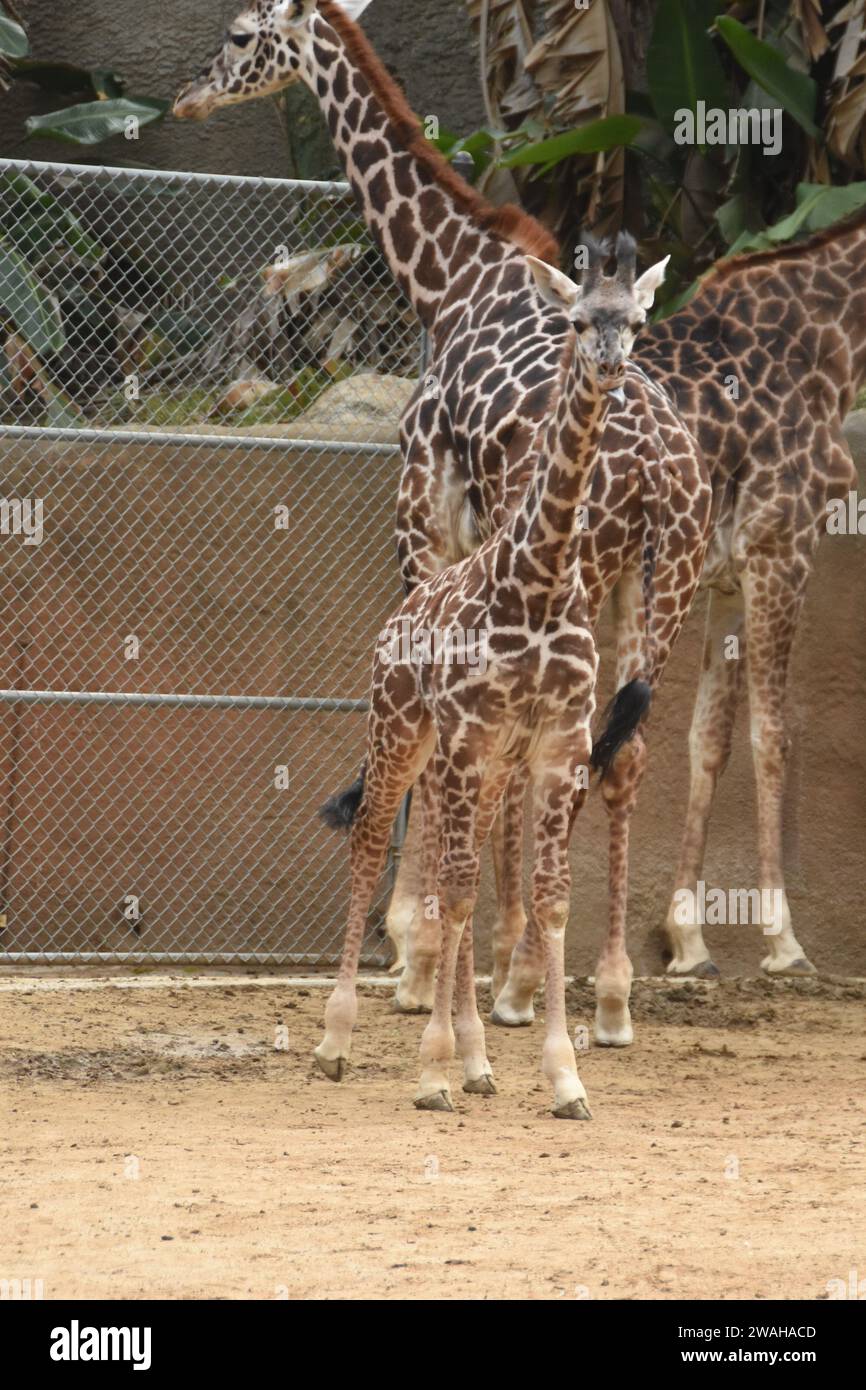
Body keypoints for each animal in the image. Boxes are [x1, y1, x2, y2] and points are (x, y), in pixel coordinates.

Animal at [314, 235, 672, 1117]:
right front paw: (431, 1069)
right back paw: (337, 1041)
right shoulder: (468, 738)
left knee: (463, 873)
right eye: (576, 319)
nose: (611, 366)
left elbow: (546, 896)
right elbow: (457, 891)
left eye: (637, 321)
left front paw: (561, 1075)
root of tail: (397, 619)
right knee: (375, 843)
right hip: (403, 733)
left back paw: (476, 1062)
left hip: (481, 765)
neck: (537, 582)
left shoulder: (555, 745)